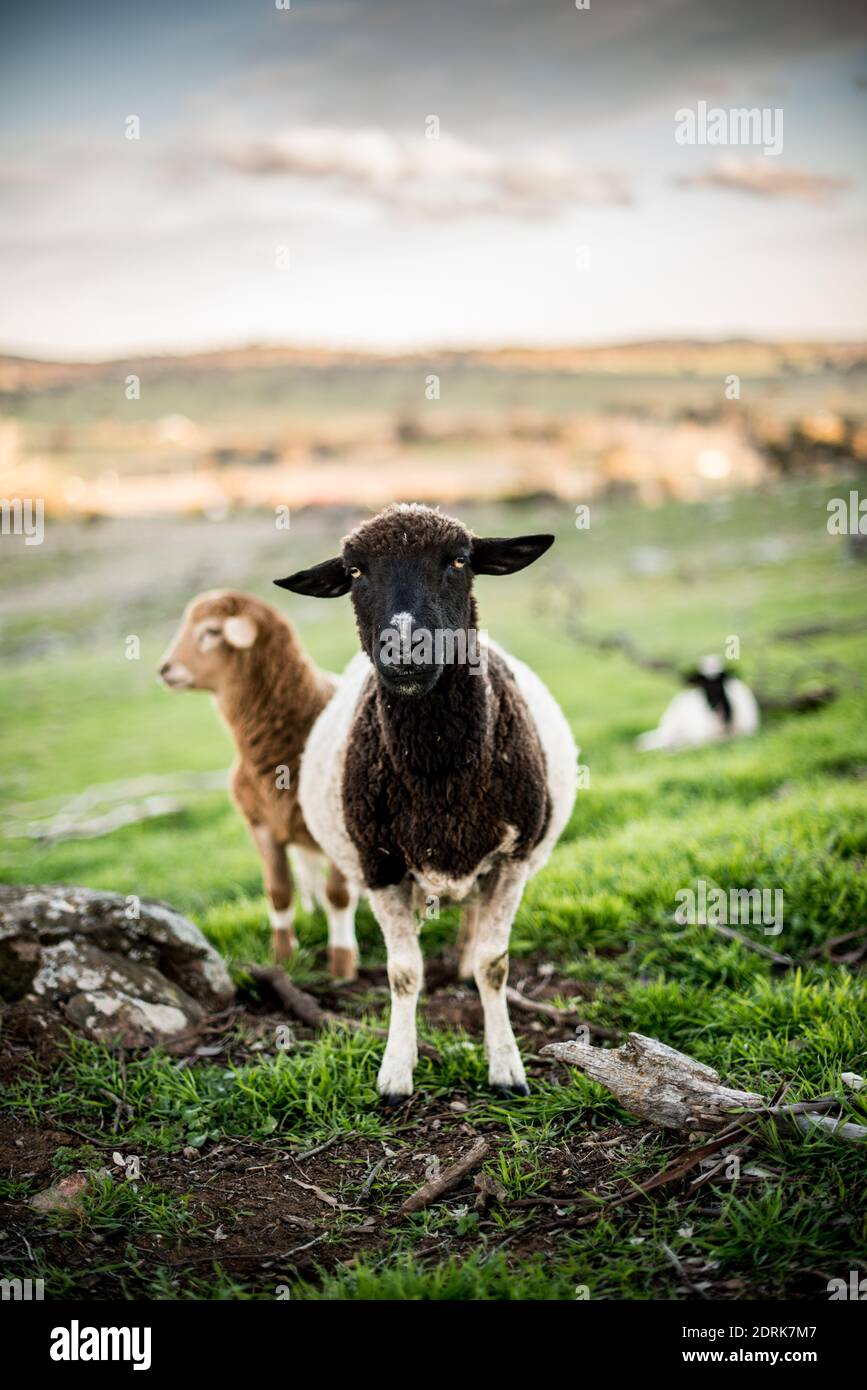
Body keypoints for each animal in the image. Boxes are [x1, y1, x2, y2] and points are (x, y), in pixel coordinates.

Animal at [158, 589, 359, 978]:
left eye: (211, 631)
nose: (165, 669)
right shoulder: (261, 824)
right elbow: (278, 892)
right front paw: (283, 957)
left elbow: (339, 895)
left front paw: (342, 964)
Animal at [275, 504, 578, 1102]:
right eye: (355, 572)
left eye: (459, 560)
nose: (405, 651)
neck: (439, 774)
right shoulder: (380, 867)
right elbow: (403, 973)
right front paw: (395, 1073)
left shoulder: (512, 860)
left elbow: (494, 965)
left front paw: (506, 1070)